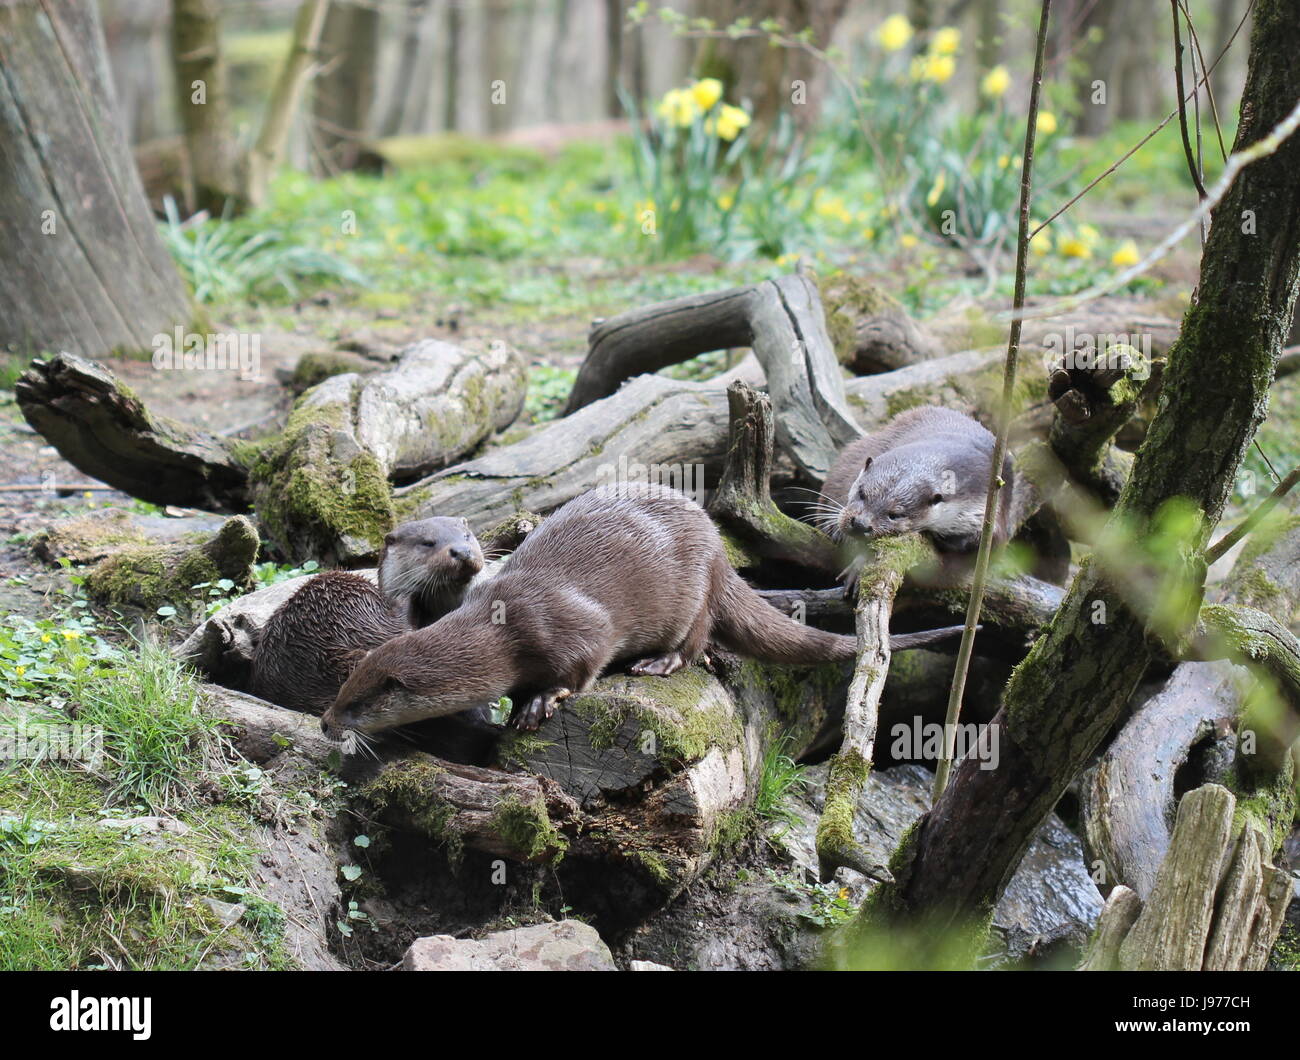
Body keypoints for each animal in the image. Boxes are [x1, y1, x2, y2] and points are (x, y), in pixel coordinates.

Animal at [322, 484, 965, 739]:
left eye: (358, 702)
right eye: (342, 686)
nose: (326, 722)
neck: (500, 628)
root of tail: (718, 544)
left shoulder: (573, 627)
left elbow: (583, 664)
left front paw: (536, 702)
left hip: (692, 591)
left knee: (699, 636)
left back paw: (660, 662)